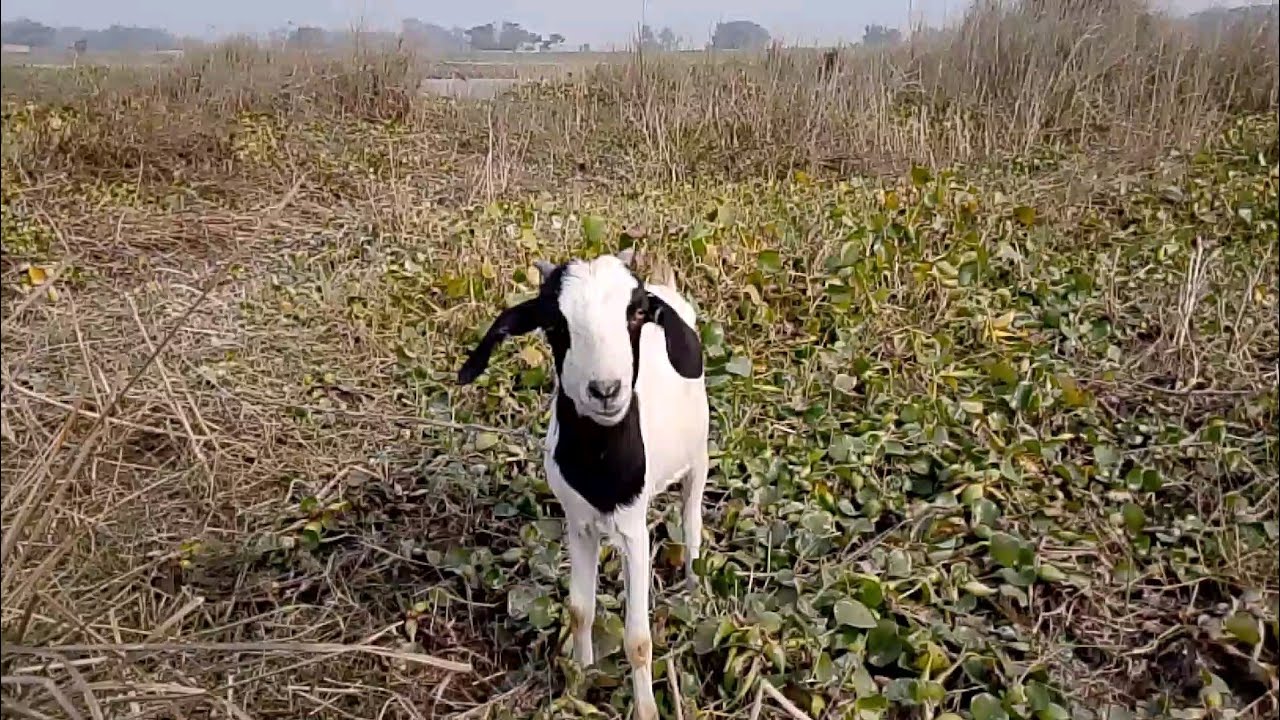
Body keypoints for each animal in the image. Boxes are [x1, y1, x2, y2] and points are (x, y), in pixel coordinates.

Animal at [457, 249, 709, 720]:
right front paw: (582, 680)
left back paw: (693, 589)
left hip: (698, 456)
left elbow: (639, 640)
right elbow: (580, 609)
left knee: (692, 521)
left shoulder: (634, 533)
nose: (605, 390)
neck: (601, 470)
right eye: (554, 324)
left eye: (636, 313)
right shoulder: (577, 524)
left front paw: (646, 710)